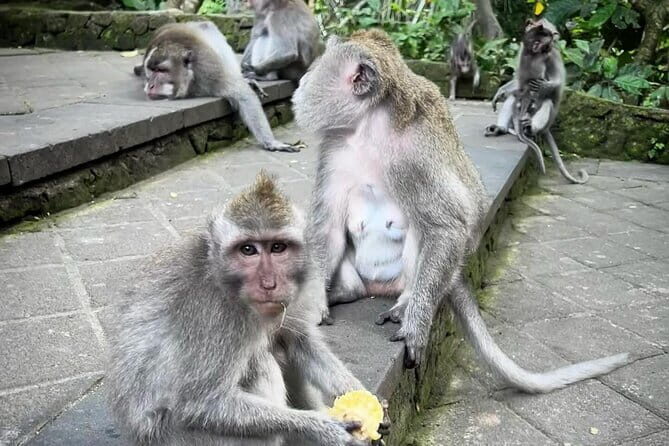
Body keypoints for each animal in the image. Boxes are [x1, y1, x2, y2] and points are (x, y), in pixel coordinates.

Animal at [105, 171, 385, 446]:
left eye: (277, 247)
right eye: (248, 249)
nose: (269, 284)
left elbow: (299, 341)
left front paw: (359, 394)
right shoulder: (215, 316)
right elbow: (201, 404)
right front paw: (325, 428)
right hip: (190, 440)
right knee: (261, 363)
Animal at [134, 21, 302, 153]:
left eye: (161, 70)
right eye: (151, 70)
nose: (150, 85)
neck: (189, 83)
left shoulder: (211, 73)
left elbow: (243, 95)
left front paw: (270, 142)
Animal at [486, 19, 588, 184]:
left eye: (553, 34)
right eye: (547, 32)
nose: (554, 38)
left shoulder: (551, 56)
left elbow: (557, 83)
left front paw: (545, 86)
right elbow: (518, 81)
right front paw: (501, 91)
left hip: (545, 118)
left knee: (547, 102)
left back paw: (531, 128)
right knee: (514, 98)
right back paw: (502, 128)